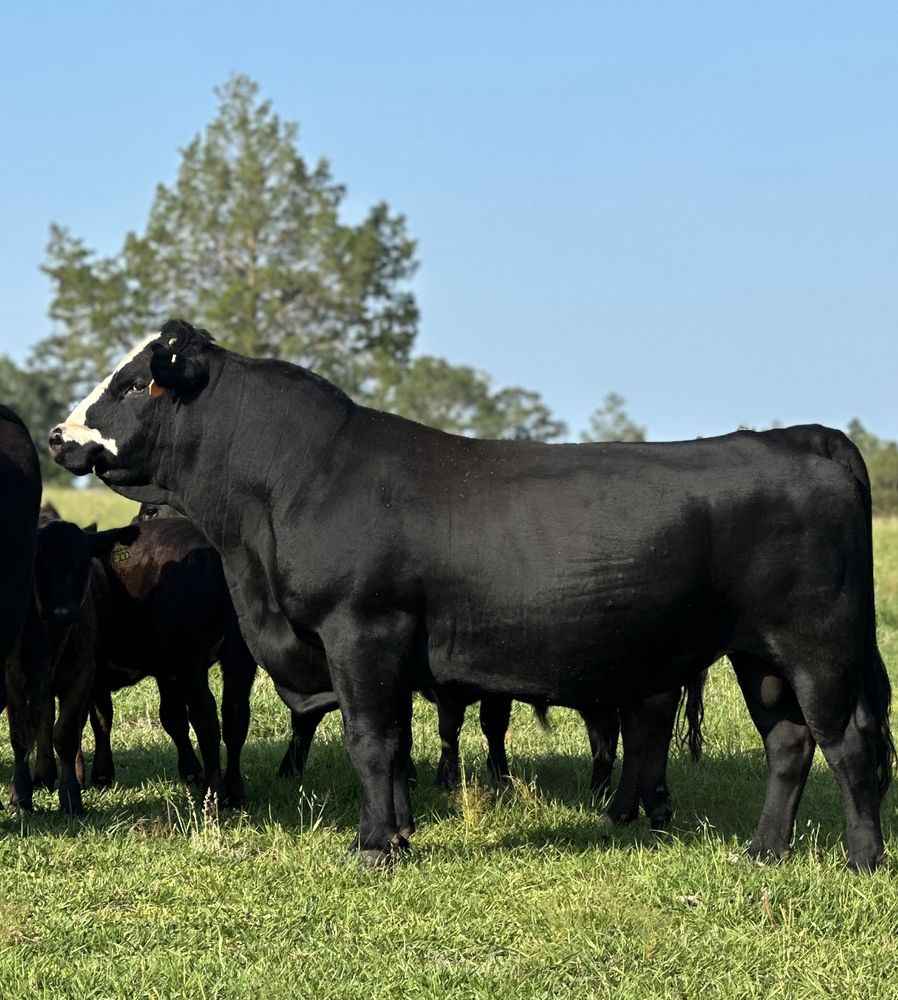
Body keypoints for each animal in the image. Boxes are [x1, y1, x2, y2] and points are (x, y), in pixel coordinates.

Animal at [50, 321, 894, 870]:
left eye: (134, 382)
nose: (59, 434)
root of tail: (798, 438)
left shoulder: (362, 631)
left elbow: (371, 742)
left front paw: (374, 848)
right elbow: (398, 748)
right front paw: (398, 834)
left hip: (818, 644)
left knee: (849, 744)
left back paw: (861, 859)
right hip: (761, 655)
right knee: (788, 744)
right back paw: (763, 852)